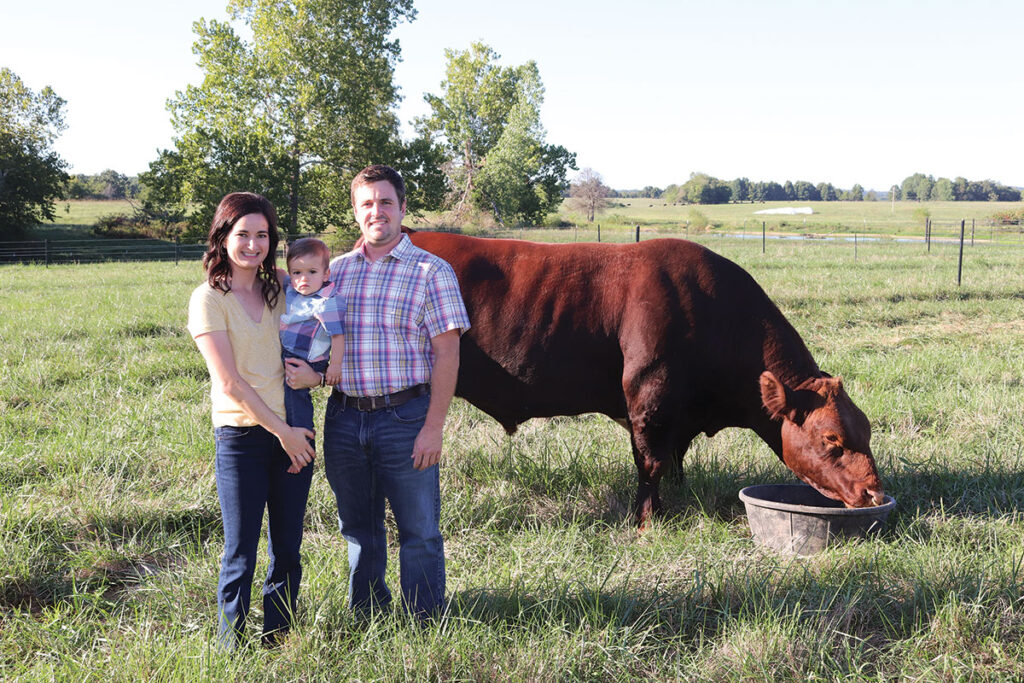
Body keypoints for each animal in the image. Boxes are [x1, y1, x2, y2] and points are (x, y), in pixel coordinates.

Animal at [403, 232, 884, 528]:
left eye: (866, 431)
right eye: (831, 439)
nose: (875, 493)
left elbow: (673, 461)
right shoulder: (650, 397)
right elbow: (651, 462)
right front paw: (647, 521)